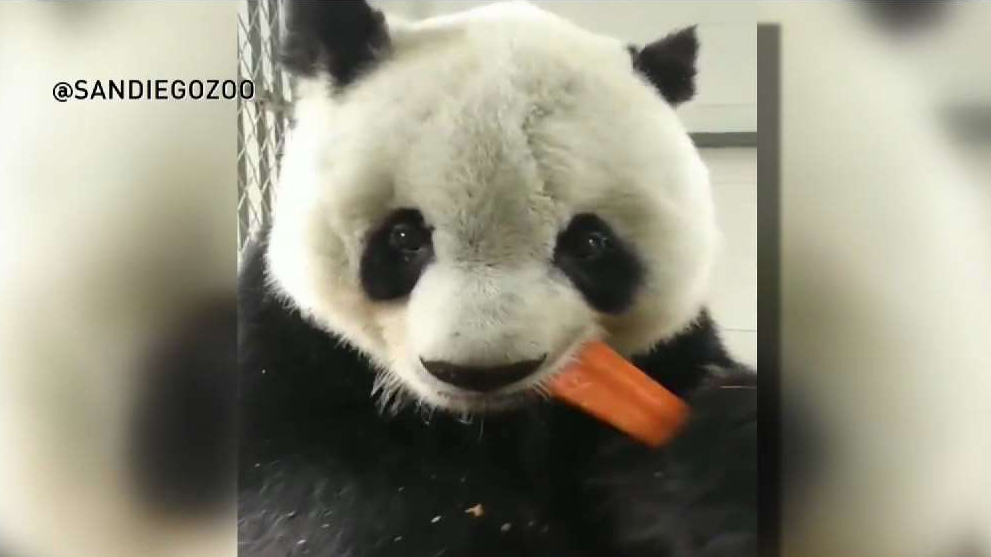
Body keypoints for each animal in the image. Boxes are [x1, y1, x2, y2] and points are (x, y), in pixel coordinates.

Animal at [237, 2, 758, 556]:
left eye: (589, 244)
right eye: (403, 236)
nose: (480, 373)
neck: (490, 423)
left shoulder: (667, 351)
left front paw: (716, 454)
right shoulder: (287, 352)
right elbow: (315, 500)